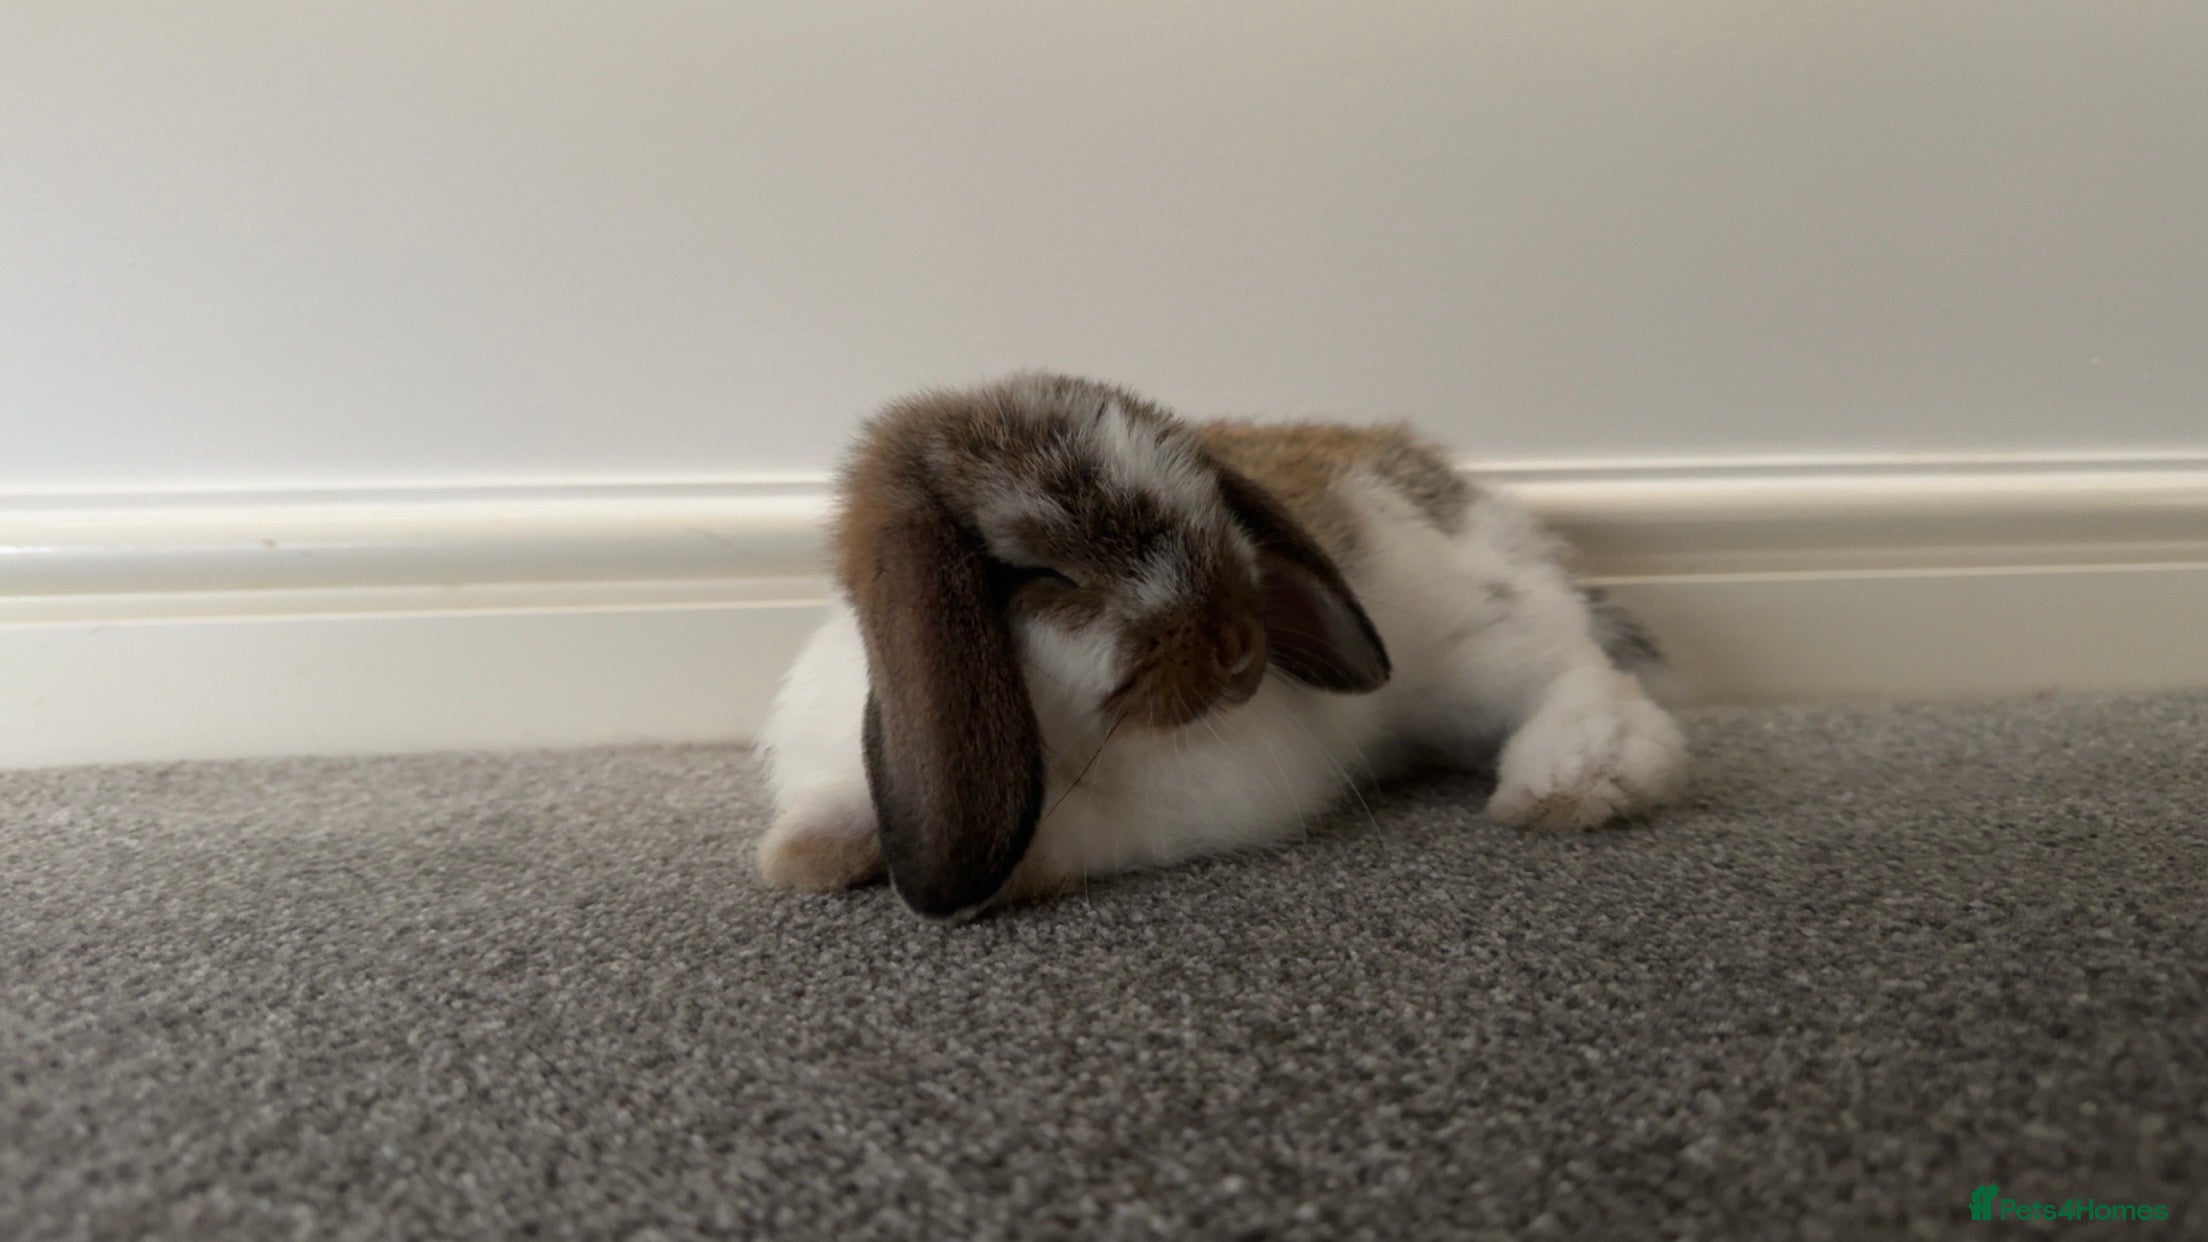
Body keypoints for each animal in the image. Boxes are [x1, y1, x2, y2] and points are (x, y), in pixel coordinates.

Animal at [756, 373, 1687, 918]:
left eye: (1215, 511)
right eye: (1044, 574)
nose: (1243, 653)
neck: (1060, 730)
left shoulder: (1196, 797)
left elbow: (1079, 834)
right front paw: (806, 853)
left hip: (1479, 651)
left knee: (1587, 673)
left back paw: (1572, 781)